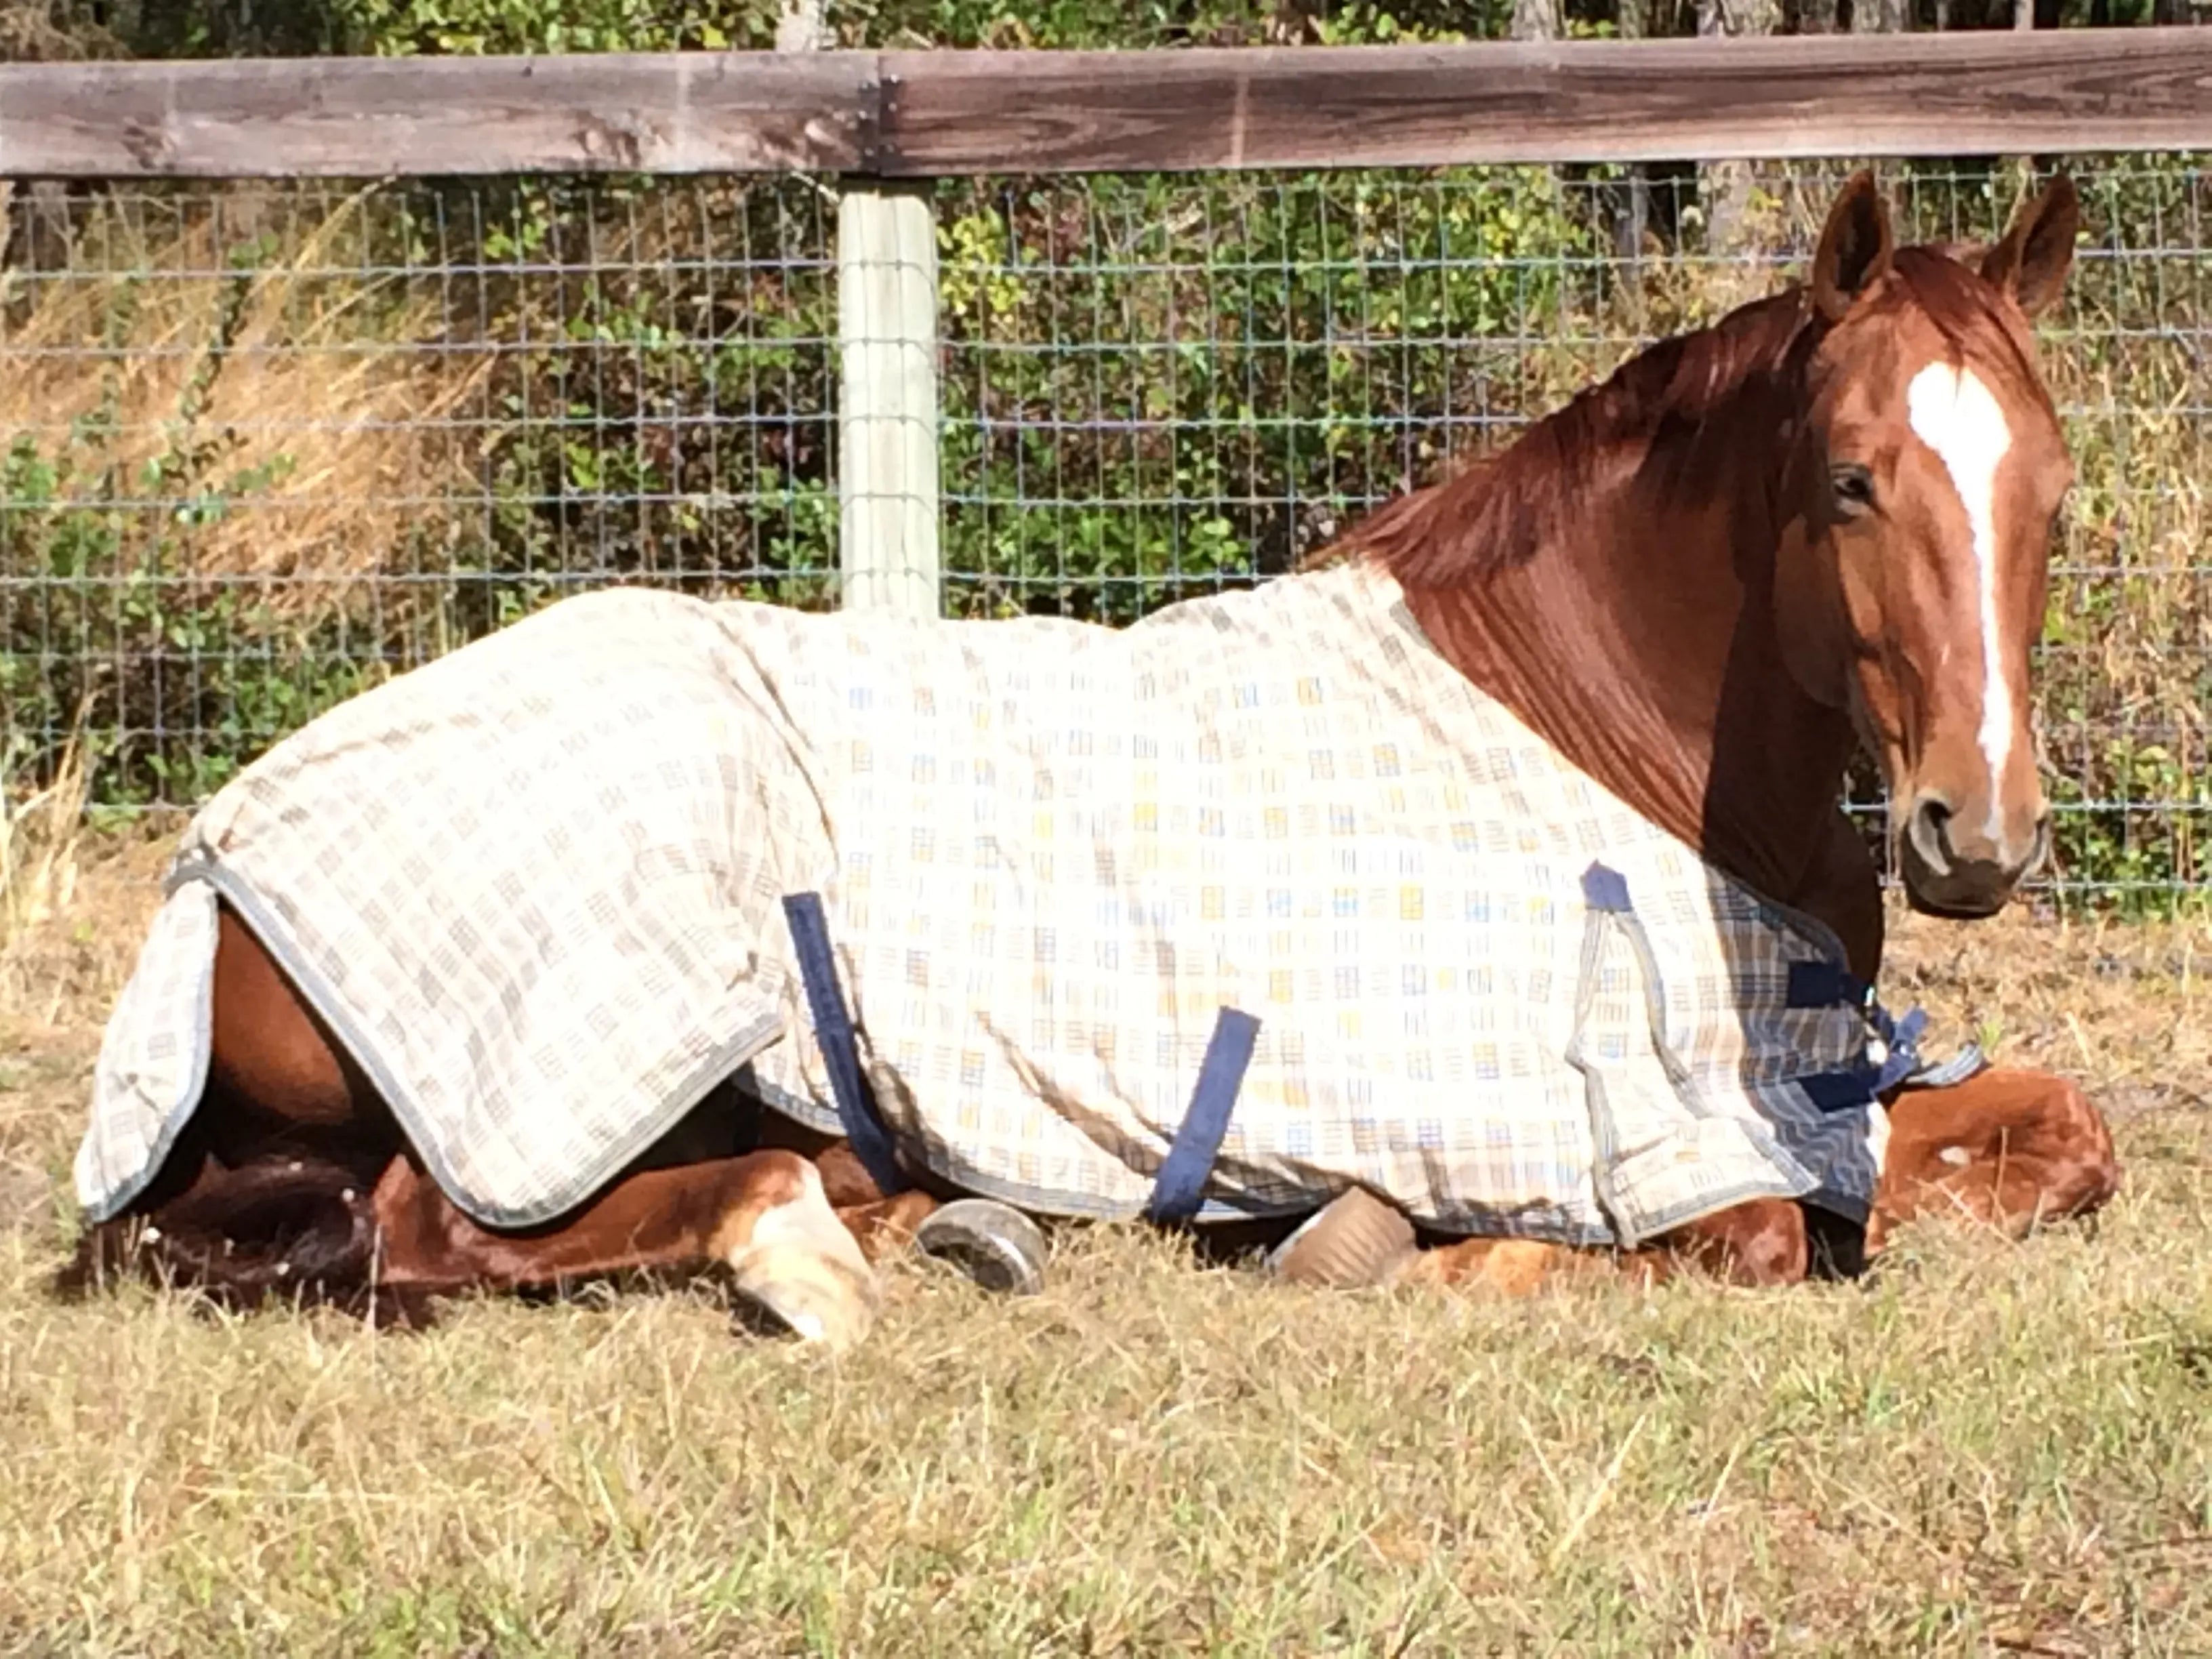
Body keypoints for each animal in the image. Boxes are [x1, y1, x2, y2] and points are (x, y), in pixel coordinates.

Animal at [58, 171, 2119, 1345]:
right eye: (1848, 479)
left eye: (2054, 493)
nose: (1979, 832)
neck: (1598, 724)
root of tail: (220, 853)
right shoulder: (1602, 1133)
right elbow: (1761, 1236)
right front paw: (1420, 1256)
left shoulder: (1818, 1091)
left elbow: (2063, 1141)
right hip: (583, 1062)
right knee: (444, 1230)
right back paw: (803, 1257)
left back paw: (924, 1215)